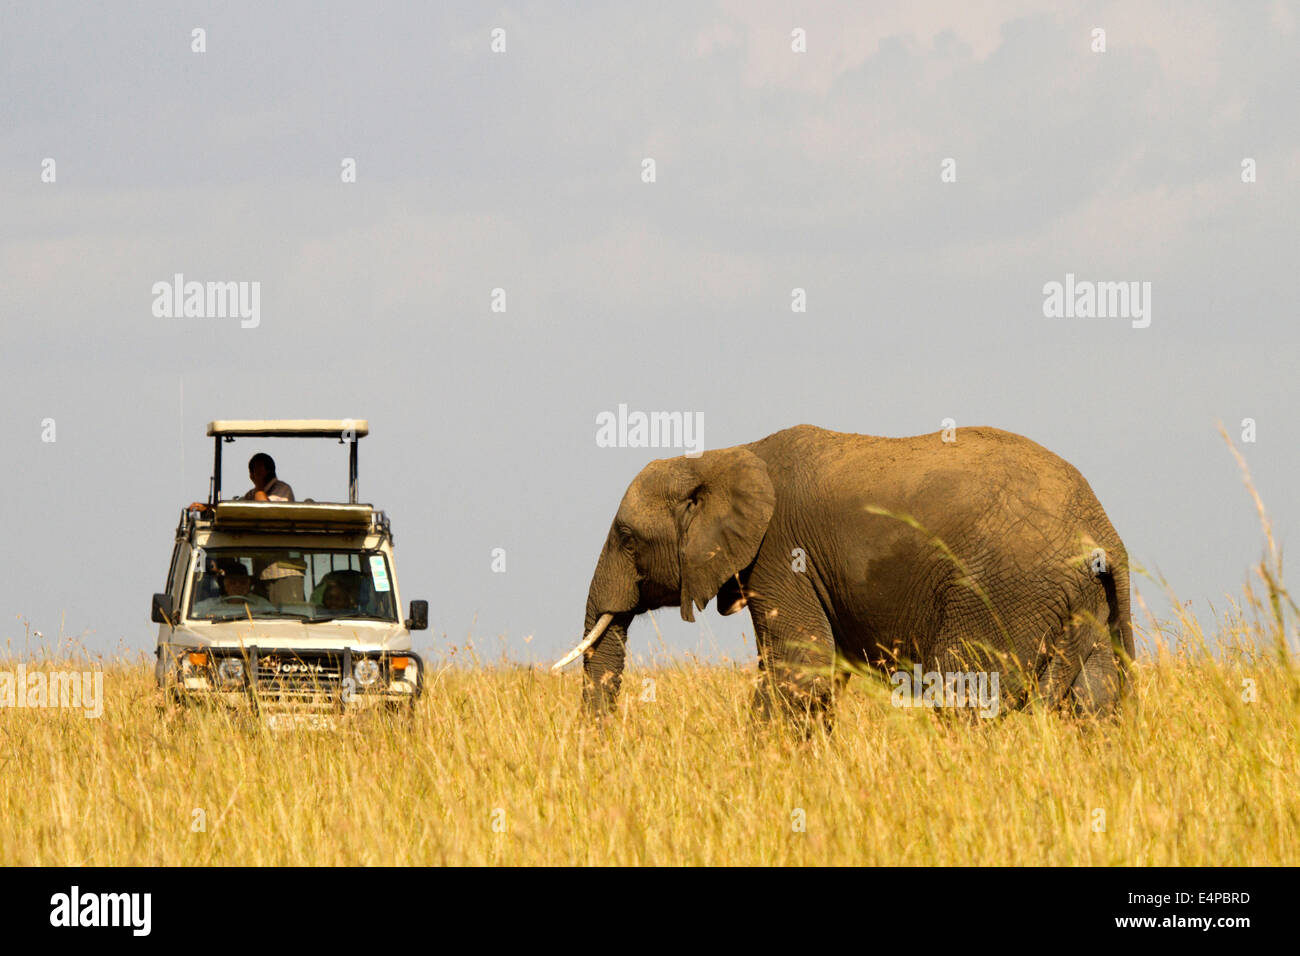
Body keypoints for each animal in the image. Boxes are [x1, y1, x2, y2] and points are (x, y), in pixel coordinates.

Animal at [555, 424, 1134, 724]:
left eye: (627, 537)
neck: (718, 456)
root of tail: (1102, 529)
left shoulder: (780, 553)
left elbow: (802, 675)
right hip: (1080, 601)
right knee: (1093, 700)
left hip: (1003, 589)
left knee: (962, 691)